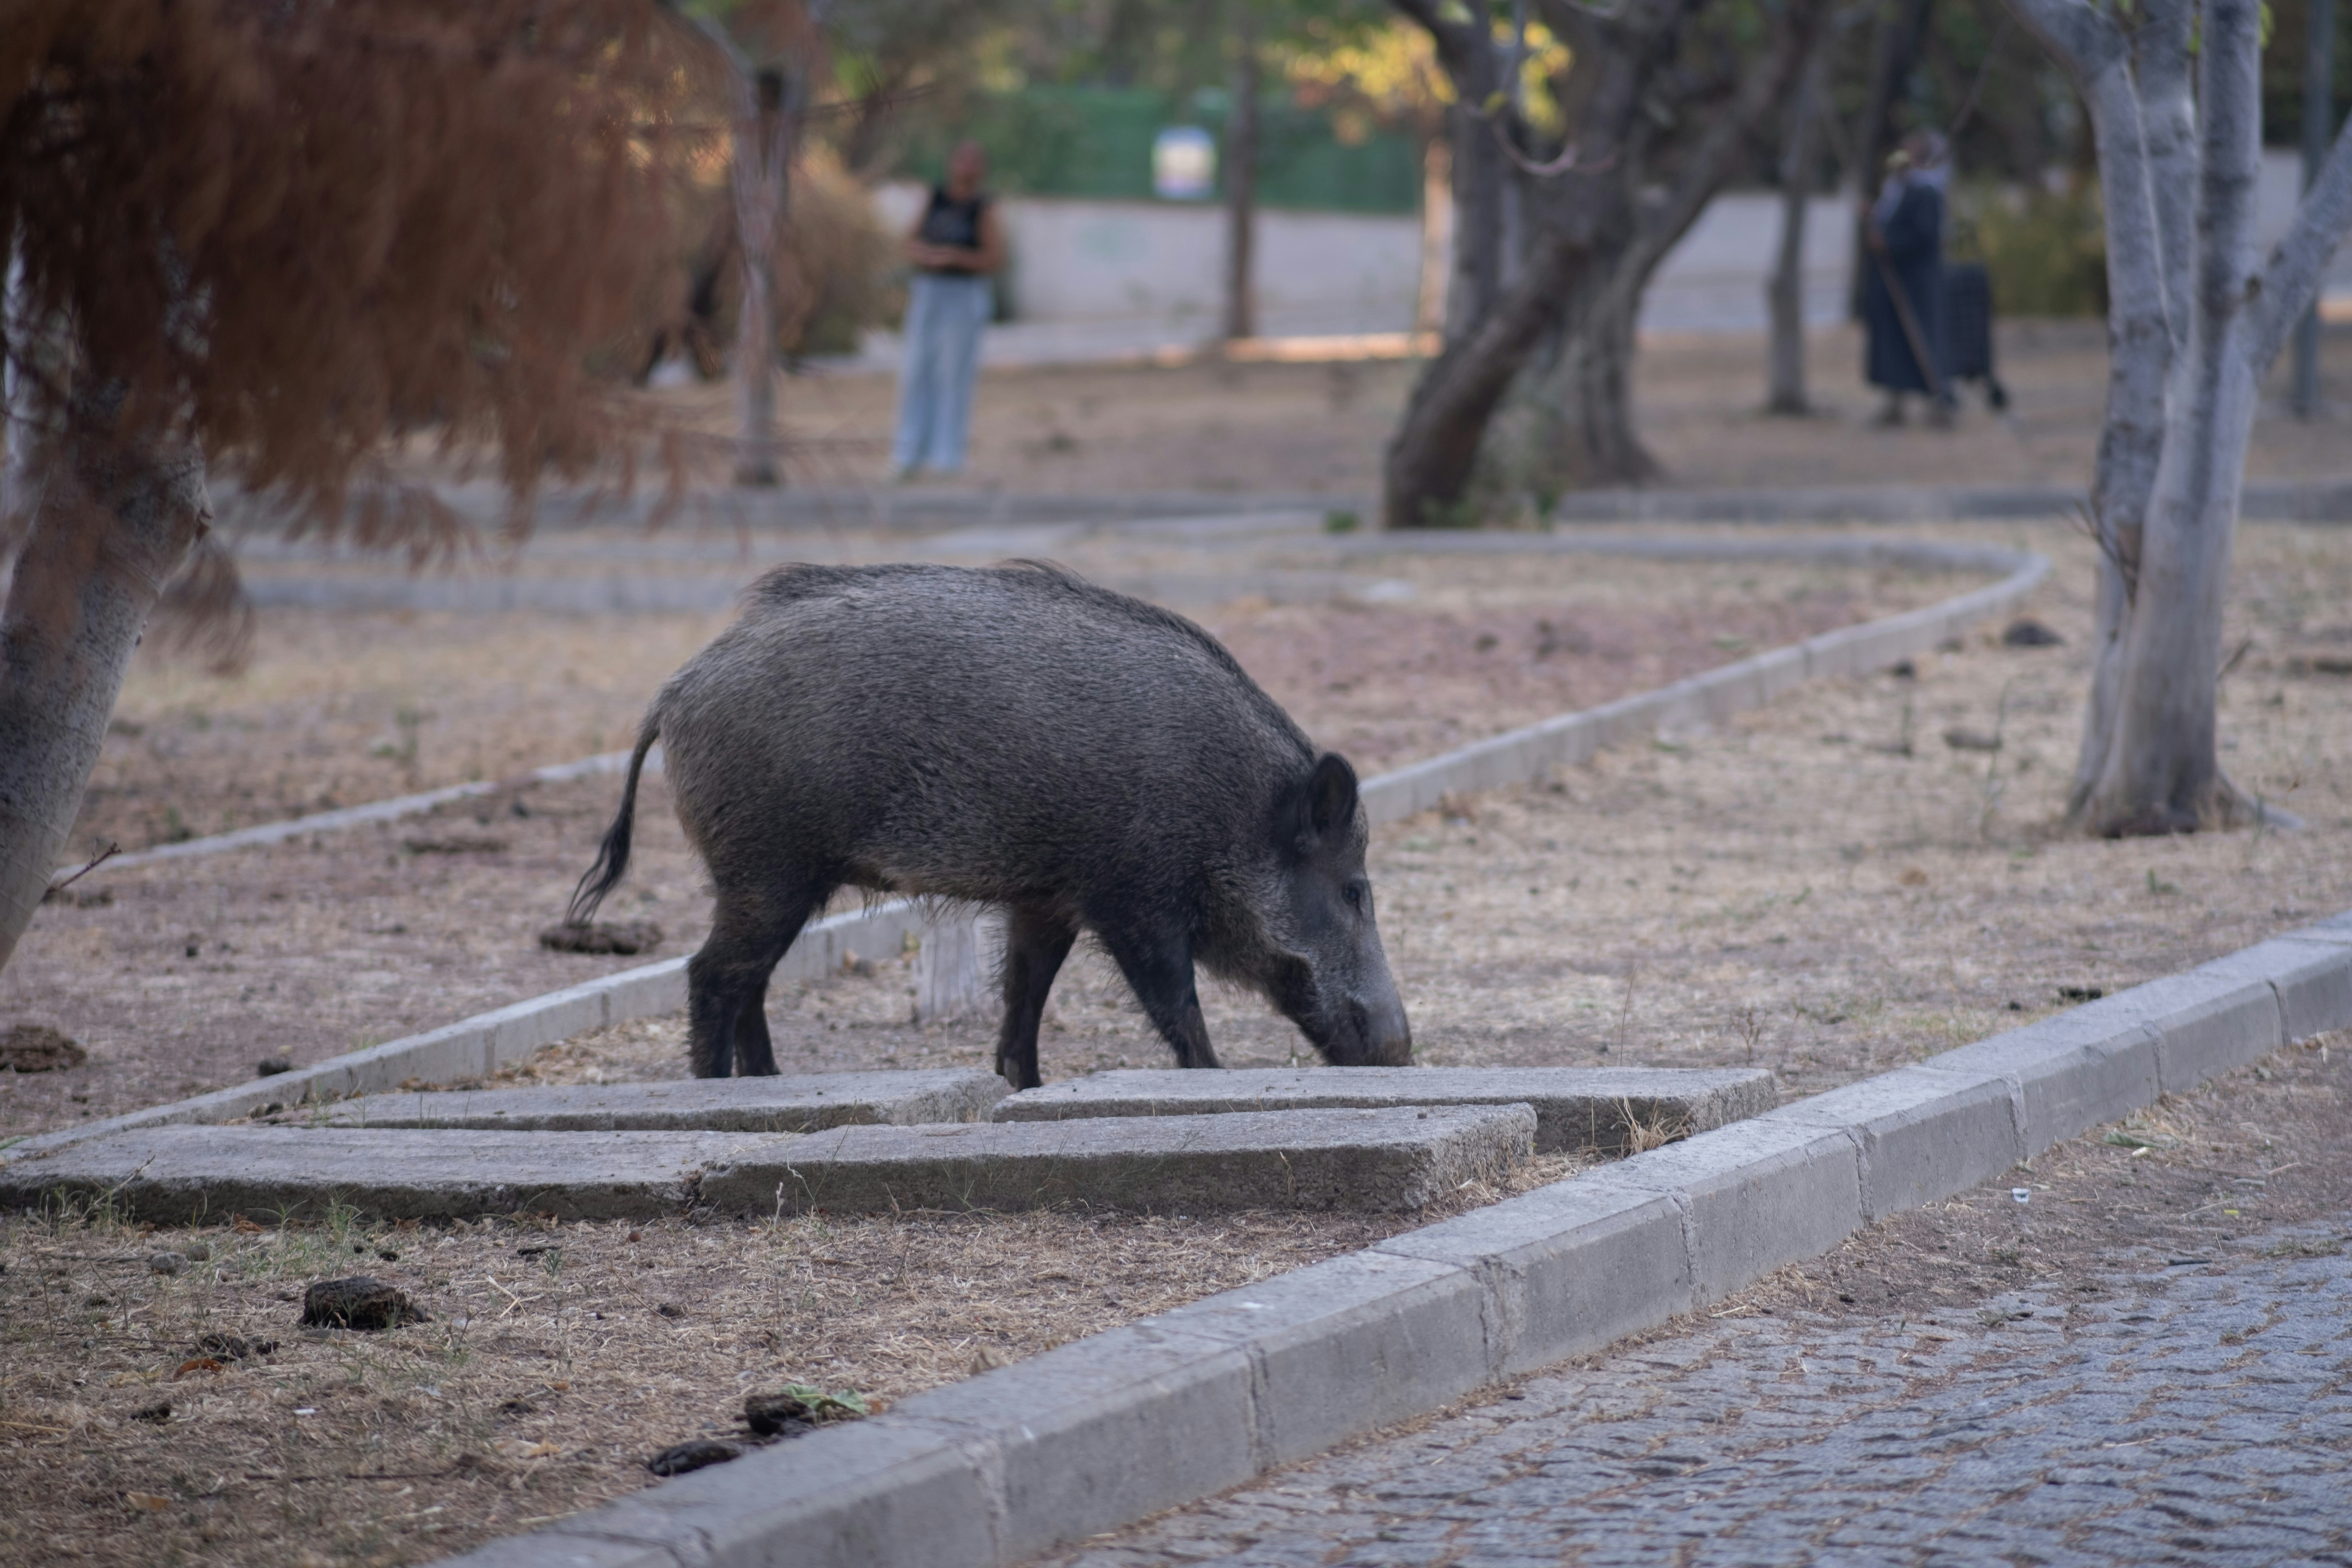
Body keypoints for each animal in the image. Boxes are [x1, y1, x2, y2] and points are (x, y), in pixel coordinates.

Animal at [566, 560, 1412, 1087]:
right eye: (1354, 890)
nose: (1402, 1049)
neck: (1232, 810)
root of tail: (675, 693)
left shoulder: (1048, 899)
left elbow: (1024, 995)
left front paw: (1023, 1085)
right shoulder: (1134, 897)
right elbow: (1174, 1004)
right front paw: (1214, 1079)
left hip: (771, 880)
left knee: (750, 983)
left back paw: (772, 1083)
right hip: (768, 868)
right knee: (712, 976)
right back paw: (718, 1092)